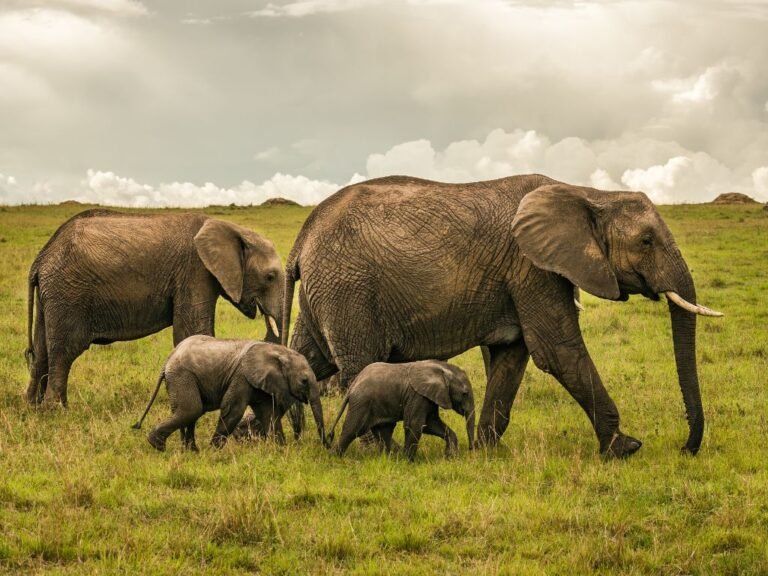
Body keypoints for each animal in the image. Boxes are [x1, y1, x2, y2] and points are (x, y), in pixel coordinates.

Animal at [24, 209, 284, 406]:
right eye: (270, 277)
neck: (232, 229)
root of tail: (41, 259)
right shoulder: (194, 272)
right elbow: (193, 331)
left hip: (51, 296)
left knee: (42, 350)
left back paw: (32, 408)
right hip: (68, 293)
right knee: (64, 351)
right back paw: (56, 410)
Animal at [132, 336, 325, 450]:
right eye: (304, 381)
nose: (326, 445)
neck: (279, 351)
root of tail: (168, 359)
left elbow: (269, 414)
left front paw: (280, 449)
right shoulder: (241, 376)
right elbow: (233, 410)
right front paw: (213, 450)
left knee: (188, 413)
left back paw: (190, 451)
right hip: (182, 375)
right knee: (191, 410)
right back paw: (158, 445)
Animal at [327, 360, 475, 461]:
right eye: (465, 394)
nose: (471, 450)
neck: (441, 368)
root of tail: (353, 384)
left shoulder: (429, 397)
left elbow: (431, 424)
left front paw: (450, 456)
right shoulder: (417, 396)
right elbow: (414, 424)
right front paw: (409, 461)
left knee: (383, 431)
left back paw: (390, 457)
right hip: (362, 402)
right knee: (352, 430)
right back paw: (335, 457)